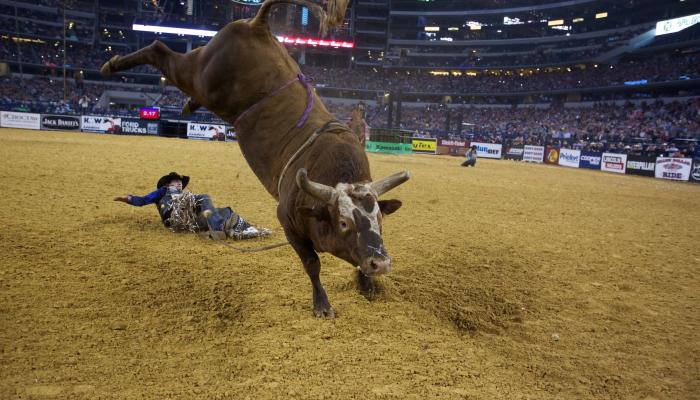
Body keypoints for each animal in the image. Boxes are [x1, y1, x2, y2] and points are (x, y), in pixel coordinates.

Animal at [101, 0, 410, 318]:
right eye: (344, 223)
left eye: (379, 220)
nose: (381, 263)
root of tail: (258, 25)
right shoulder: (287, 221)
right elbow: (312, 263)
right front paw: (322, 305)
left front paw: (368, 284)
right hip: (200, 74)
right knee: (160, 48)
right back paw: (113, 64)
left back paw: (187, 103)